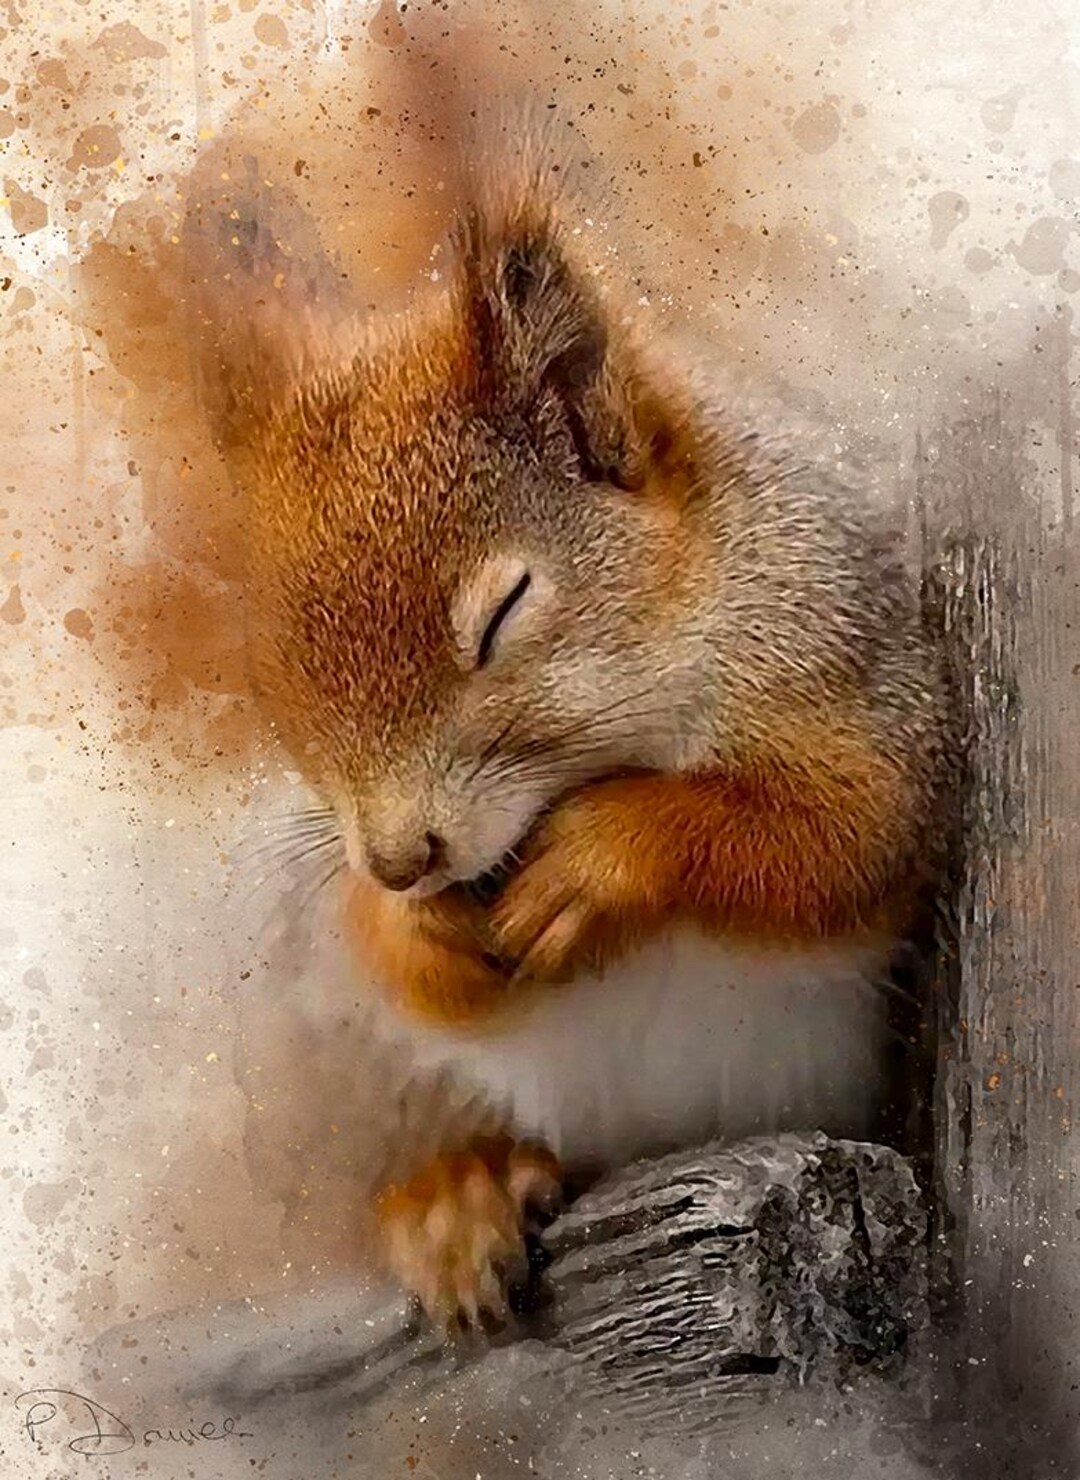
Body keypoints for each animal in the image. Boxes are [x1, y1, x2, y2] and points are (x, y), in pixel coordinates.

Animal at [192, 117, 947, 1331]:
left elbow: (833, 835)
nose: (401, 859)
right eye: (272, 678)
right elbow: (371, 947)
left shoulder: (857, 670)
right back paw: (457, 1196)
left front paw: (601, 863)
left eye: (506, 610)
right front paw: (415, 928)